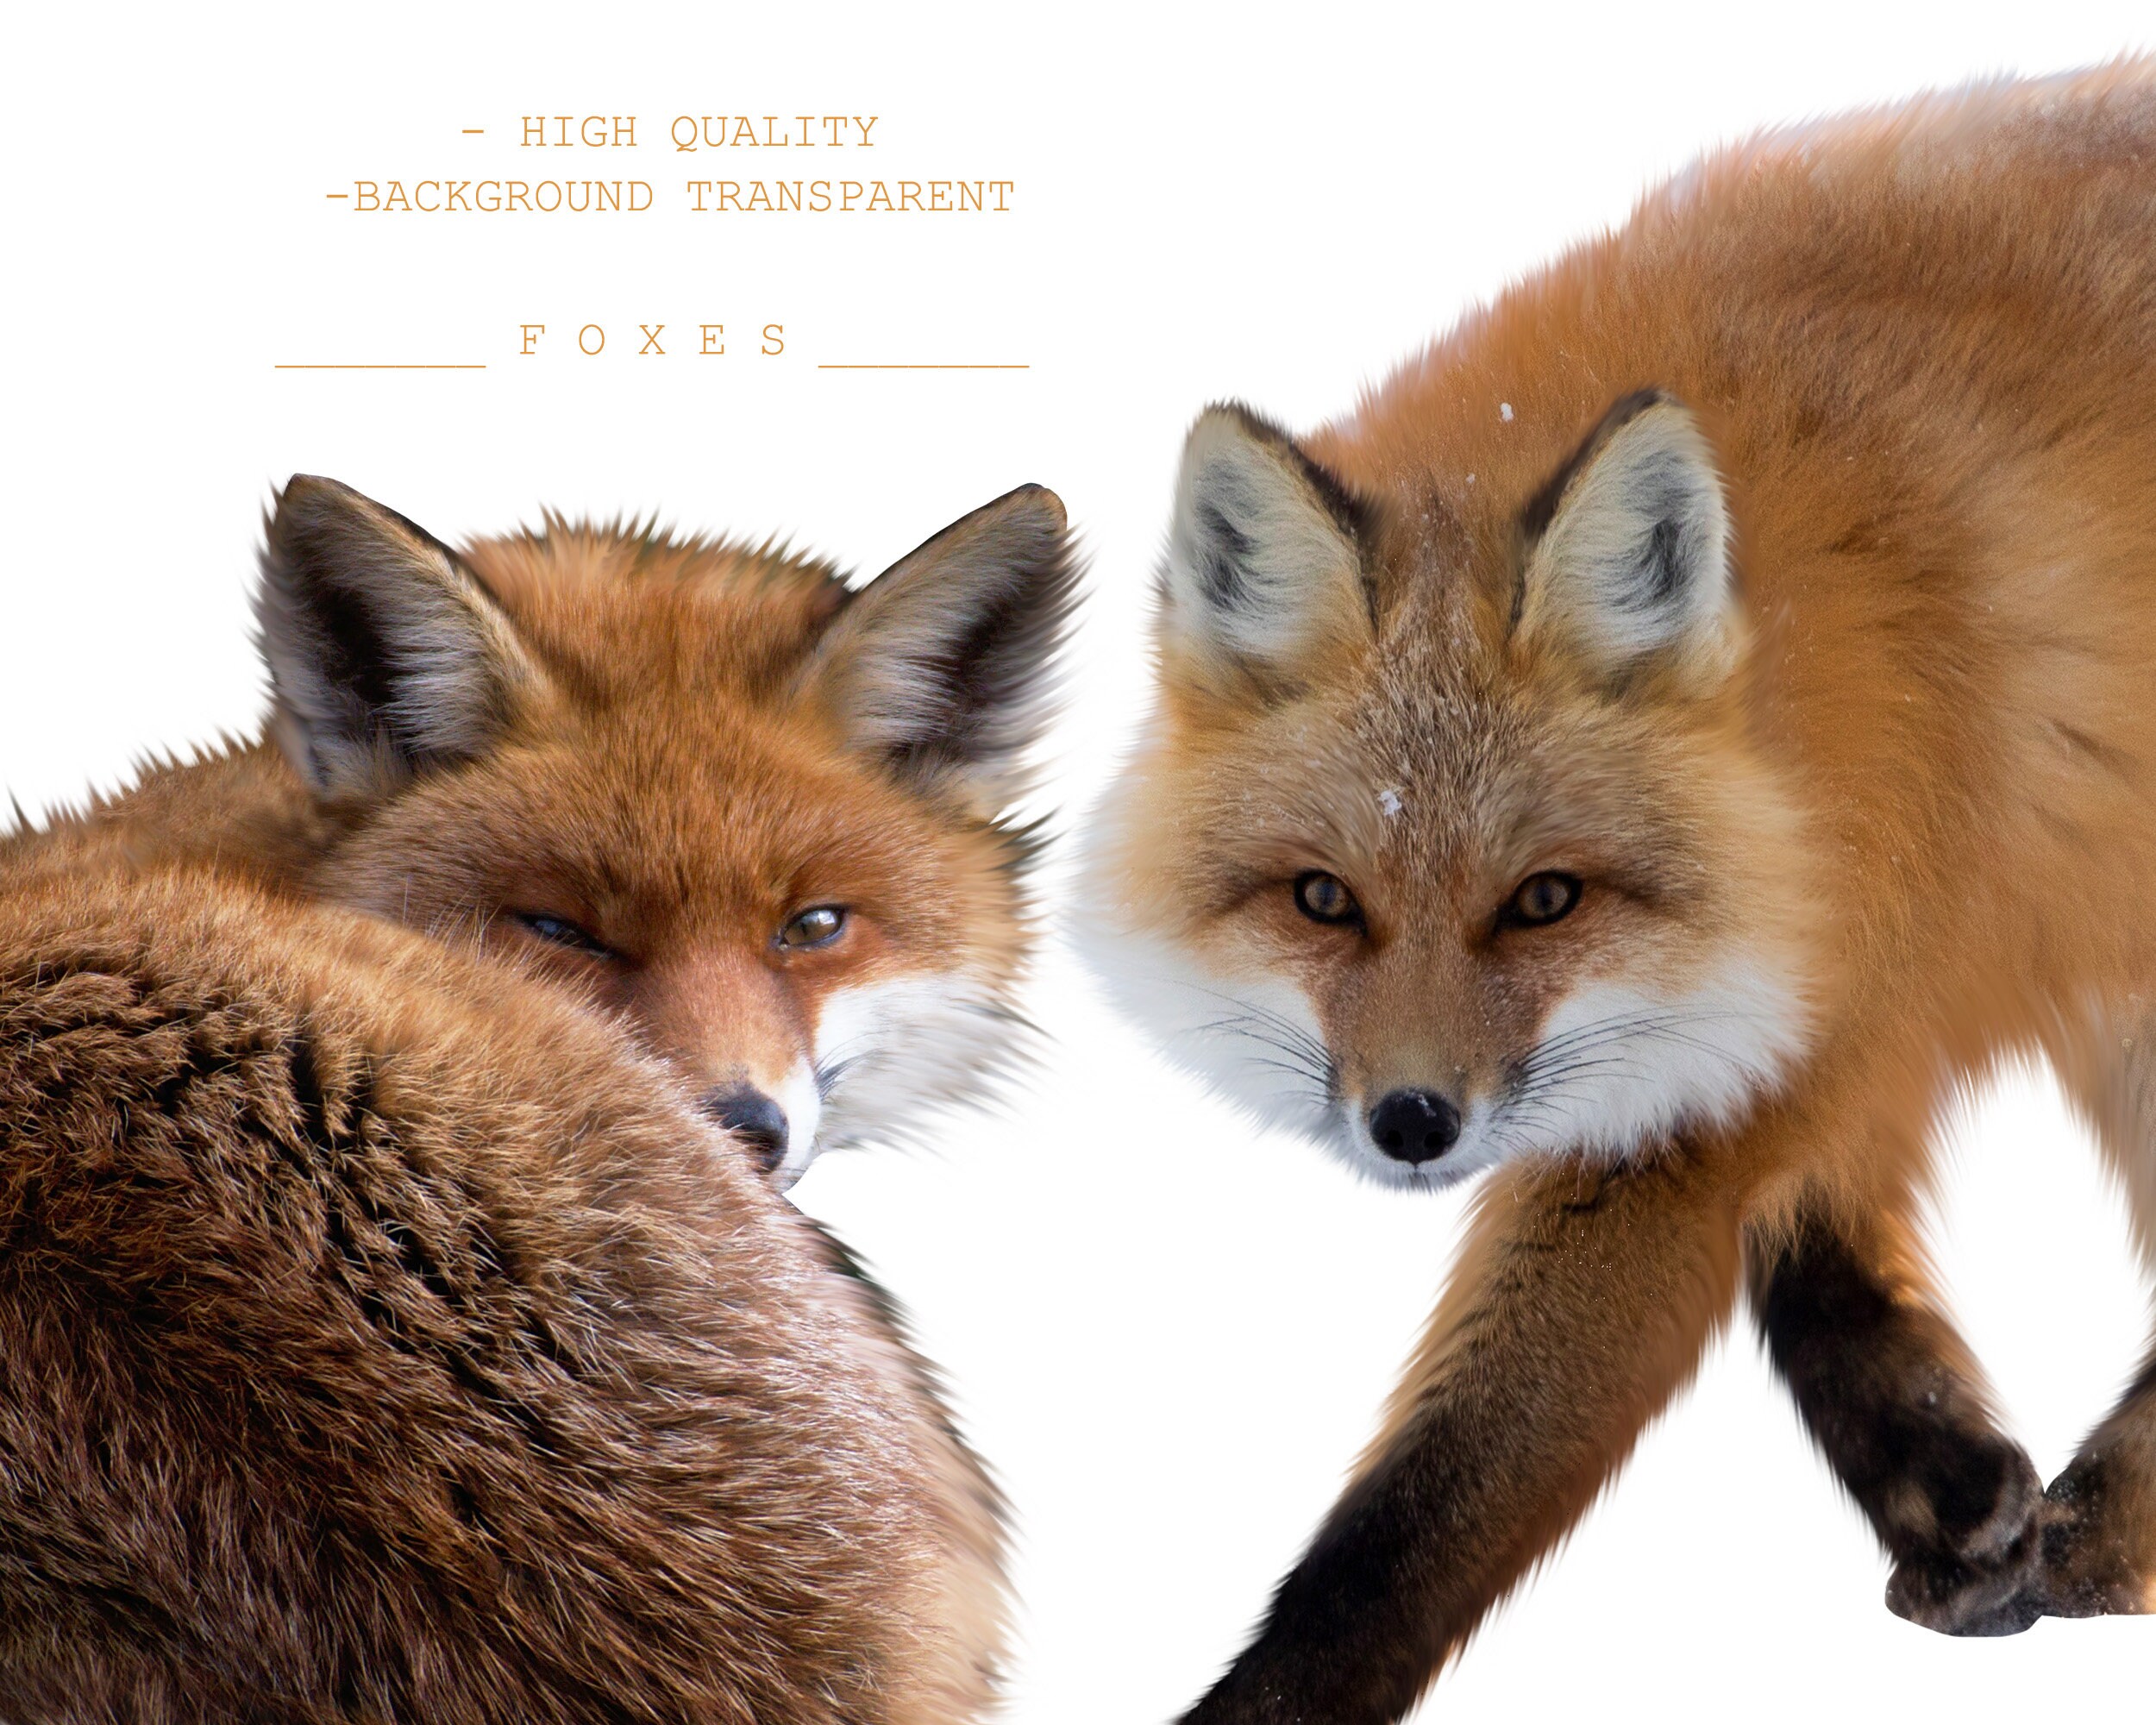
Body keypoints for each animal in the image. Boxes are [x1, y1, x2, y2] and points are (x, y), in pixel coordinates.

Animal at [1082, 59, 2156, 1724]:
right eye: (1325, 900)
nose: (1412, 1124)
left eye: (1544, 901)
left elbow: (1423, 1512)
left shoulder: (1753, 1048)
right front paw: (1949, 1481)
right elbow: (1818, 1255)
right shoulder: (1834, 987)